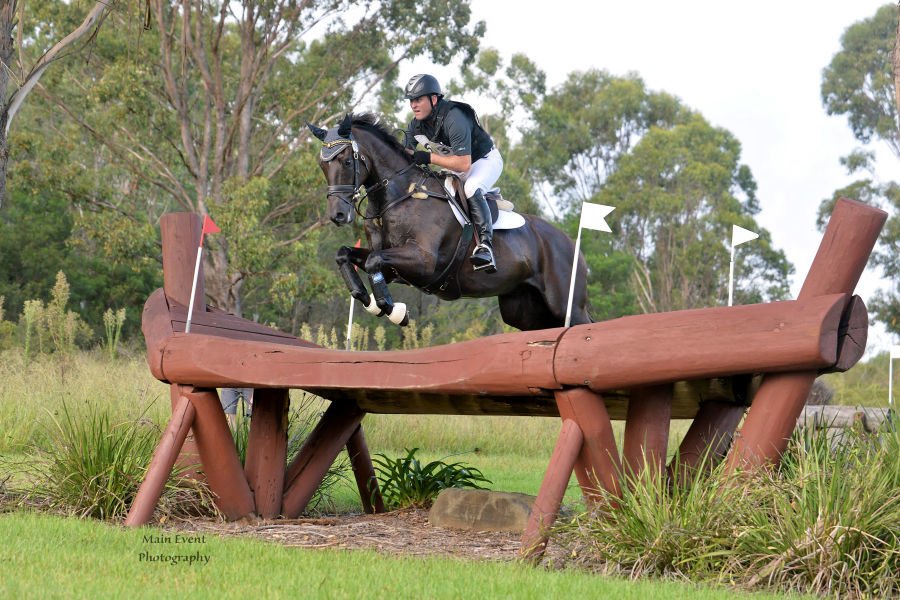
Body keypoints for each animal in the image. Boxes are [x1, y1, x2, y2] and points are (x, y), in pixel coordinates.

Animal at [308, 113, 591, 332]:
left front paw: (394, 310)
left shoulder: (424, 260)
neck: (399, 196)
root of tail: (572, 245)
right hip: (524, 309)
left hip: (564, 303)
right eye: (322, 165)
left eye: (346, 161)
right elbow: (346, 254)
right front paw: (368, 300)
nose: (338, 215)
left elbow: (373, 261)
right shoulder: (391, 265)